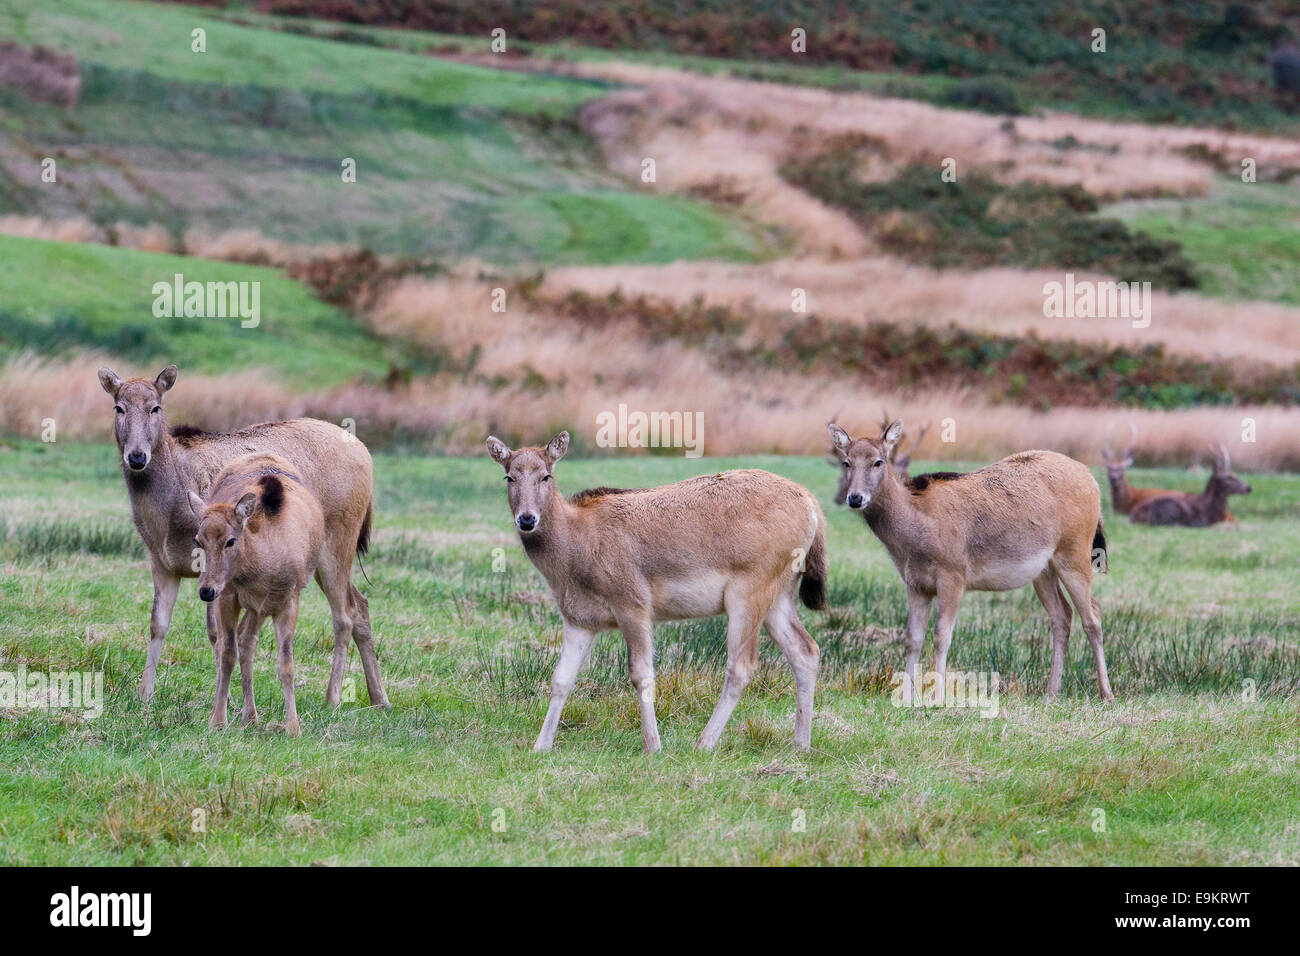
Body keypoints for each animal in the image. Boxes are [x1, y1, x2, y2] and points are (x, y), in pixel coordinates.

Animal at [189, 454, 324, 735]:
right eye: (198, 540)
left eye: (231, 540)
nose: (206, 590)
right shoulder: (229, 596)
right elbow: (227, 653)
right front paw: (217, 721)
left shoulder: (288, 599)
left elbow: (286, 664)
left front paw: (293, 727)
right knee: (231, 643)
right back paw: (237, 712)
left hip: (260, 608)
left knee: (247, 641)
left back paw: (250, 716)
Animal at [486, 430, 827, 753]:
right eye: (509, 476)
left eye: (546, 475)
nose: (527, 519)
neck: (573, 556)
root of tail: (812, 507)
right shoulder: (578, 618)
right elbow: (561, 678)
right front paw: (540, 746)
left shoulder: (632, 600)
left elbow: (641, 673)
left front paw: (652, 745)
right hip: (780, 593)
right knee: (805, 650)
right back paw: (801, 743)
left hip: (751, 587)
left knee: (741, 666)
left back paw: (704, 743)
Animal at [828, 419, 1114, 702]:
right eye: (847, 462)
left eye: (878, 461)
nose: (855, 498)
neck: (912, 539)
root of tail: (1093, 482)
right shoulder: (915, 583)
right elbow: (913, 637)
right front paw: (906, 697)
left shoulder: (953, 573)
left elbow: (941, 634)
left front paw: (938, 696)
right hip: (1043, 569)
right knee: (1062, 615)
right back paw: (1051, 692)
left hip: (1075, 550)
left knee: (1093, 616)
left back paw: (1106, 693)